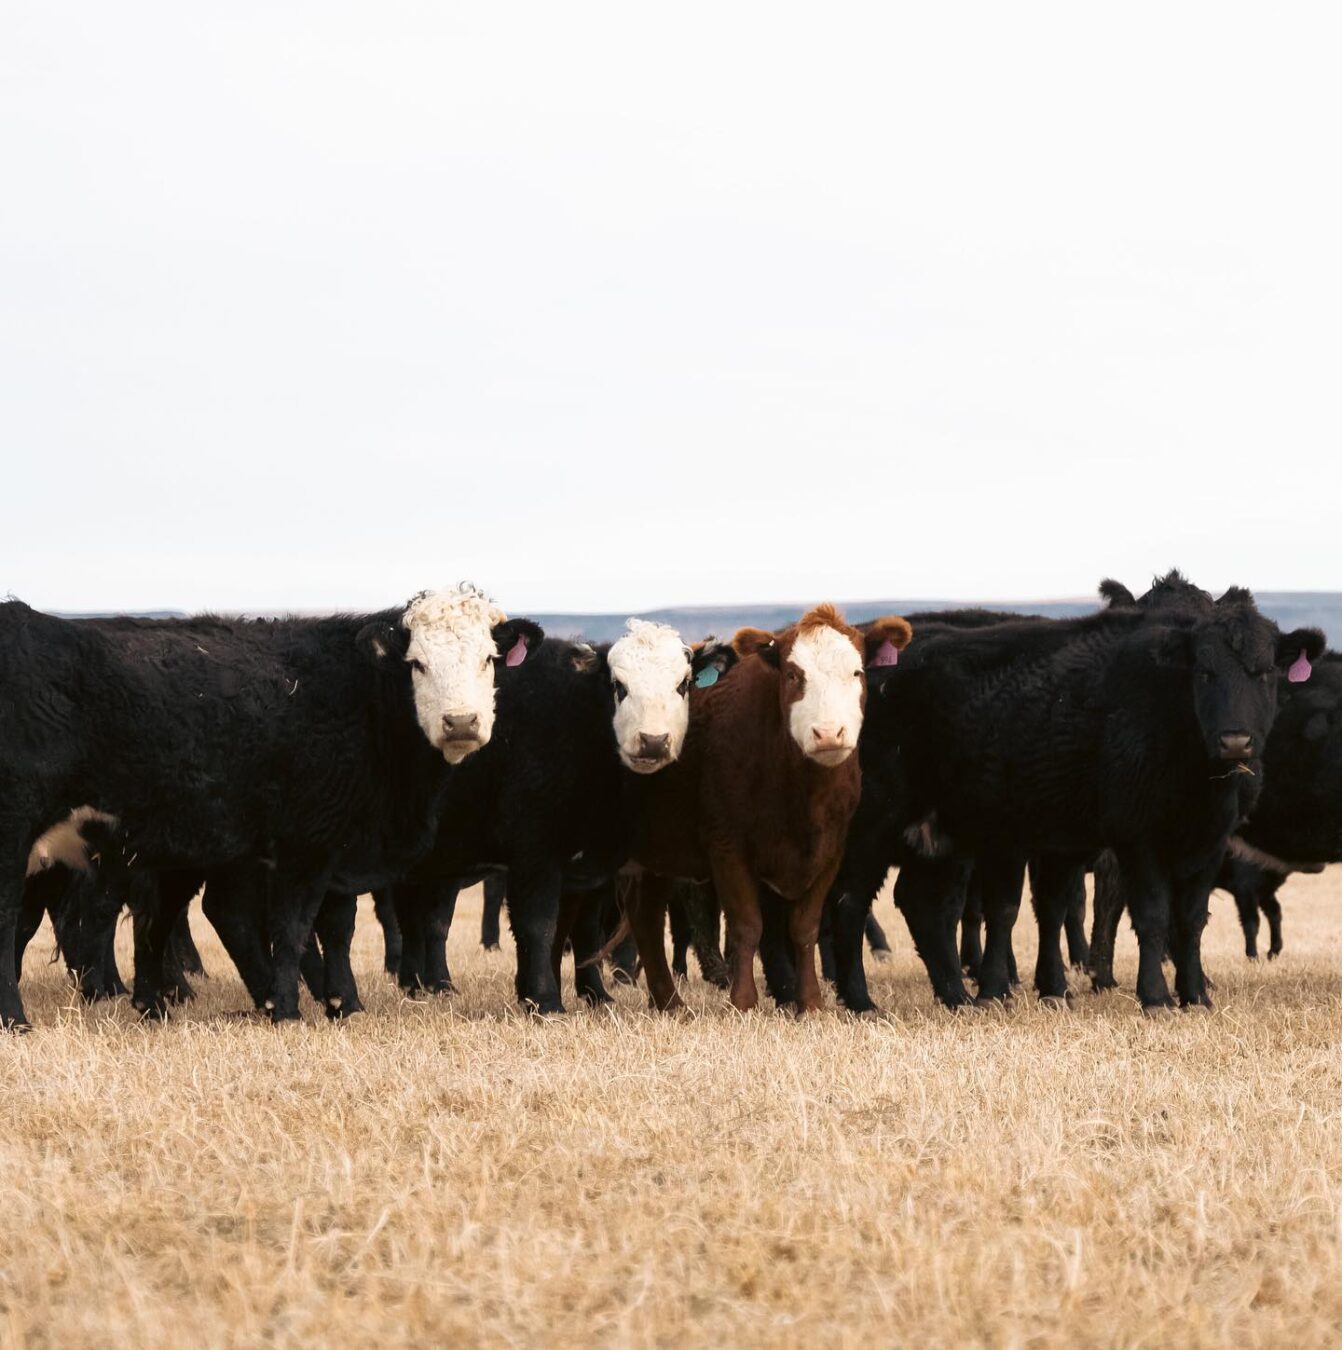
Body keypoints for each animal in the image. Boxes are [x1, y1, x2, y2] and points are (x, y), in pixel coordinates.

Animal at [0, 586, 526, 1028]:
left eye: (488, 659)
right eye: (417, 664)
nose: (461, 722)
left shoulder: (337, 842)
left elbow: (337, 928)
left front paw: (344, 1004)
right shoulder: (303, 847)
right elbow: (292, 928)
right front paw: (289, 1011)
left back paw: (155, 1006)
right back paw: (17, 1018)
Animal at [619, 605, 914, 1014]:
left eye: (857, 672)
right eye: (792, 674)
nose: (828, 734)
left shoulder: (830, 852)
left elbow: (804, 927)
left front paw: (810, 1002)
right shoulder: (728, 849)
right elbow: (747, 925)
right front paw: (743, 1001)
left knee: (644, 915)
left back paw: (667, 1001)